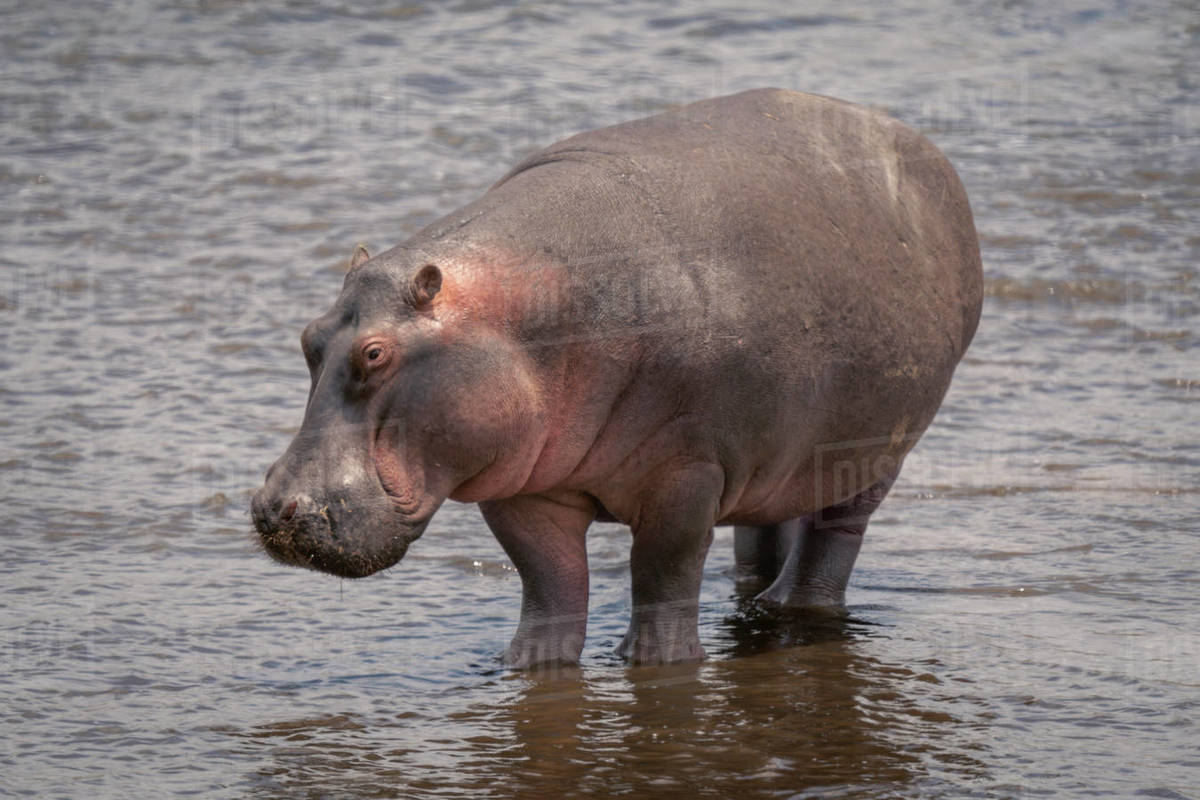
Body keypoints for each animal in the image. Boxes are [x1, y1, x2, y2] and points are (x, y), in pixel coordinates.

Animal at [251, 88, 983, 667]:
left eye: (375, 354)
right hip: (774, 457)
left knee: (835, 537)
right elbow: (548, 581)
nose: (273, 508)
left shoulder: (689, 469)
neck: (524, 316)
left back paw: (789, 608)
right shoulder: (522, 483)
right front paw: (526, 664)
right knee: (763, 523)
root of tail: (925, 149)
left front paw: (656, 661)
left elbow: (663, 571)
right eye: (309, 337)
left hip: (873, 452)